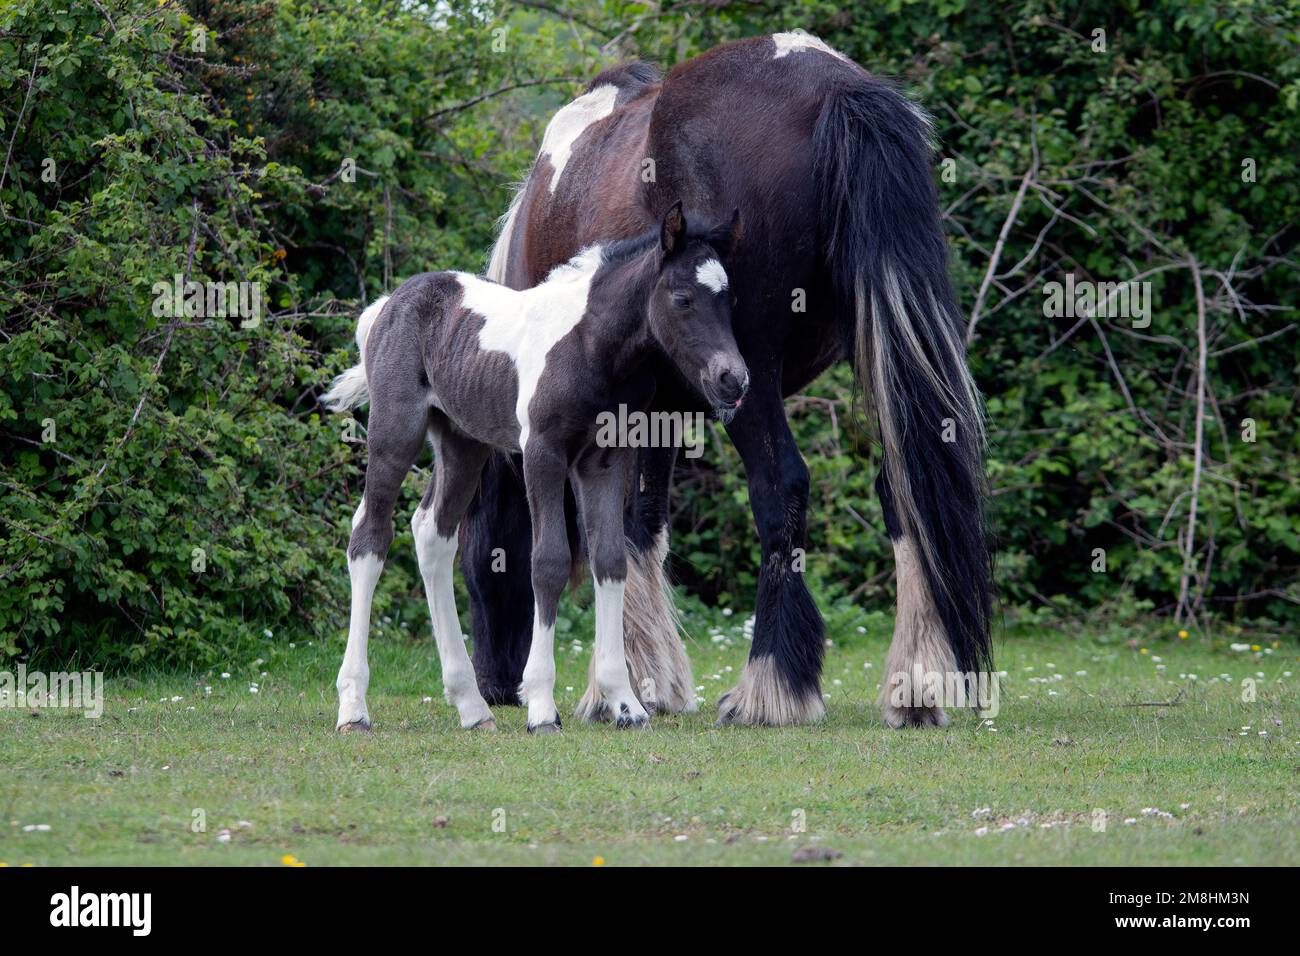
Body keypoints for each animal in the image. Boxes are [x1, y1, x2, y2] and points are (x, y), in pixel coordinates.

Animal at [322, 202, 747, 733]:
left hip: (463, 444)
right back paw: (353, 708)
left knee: (433, 533)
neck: (590, 346)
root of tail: (385, 306)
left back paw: (471, 706)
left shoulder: (605, 459)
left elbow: (611, 560)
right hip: (394, 433)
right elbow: (547, 562)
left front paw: (624, 703)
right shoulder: (543, 453)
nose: (733, 380)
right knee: (370, 537)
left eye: (729, 300)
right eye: (682, 298)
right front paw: (542, 705)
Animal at [464, 32, 993, 728]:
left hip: (751, 381)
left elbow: (614, 527)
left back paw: (769, 689)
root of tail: (834, 87)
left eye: (478, 556)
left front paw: (618, 687)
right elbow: (641, 524)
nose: (495, 685)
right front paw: (652, 682)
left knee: (781, 486)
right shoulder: (656, 409)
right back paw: (916, 688)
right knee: (902, 484)